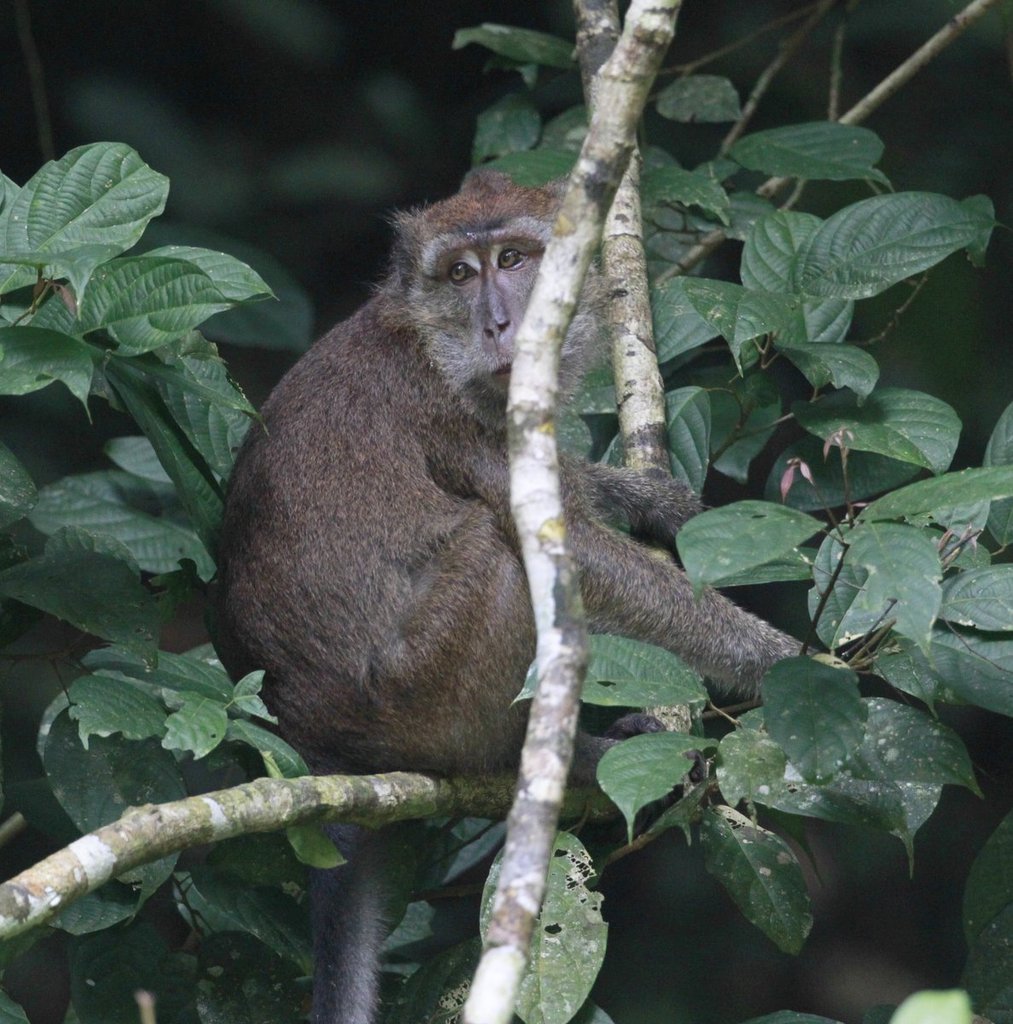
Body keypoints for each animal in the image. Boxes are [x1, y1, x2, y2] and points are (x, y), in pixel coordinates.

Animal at [213, 169, 799, 1024]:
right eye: (460, 273)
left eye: (514, 259)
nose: (498, 323)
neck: (426, 340)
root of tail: (318, 748)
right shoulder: (452, 420)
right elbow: (576, 554)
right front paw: (788, 663)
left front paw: (640, 495)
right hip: (418, 703)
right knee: (497, 555)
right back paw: (560, 758)